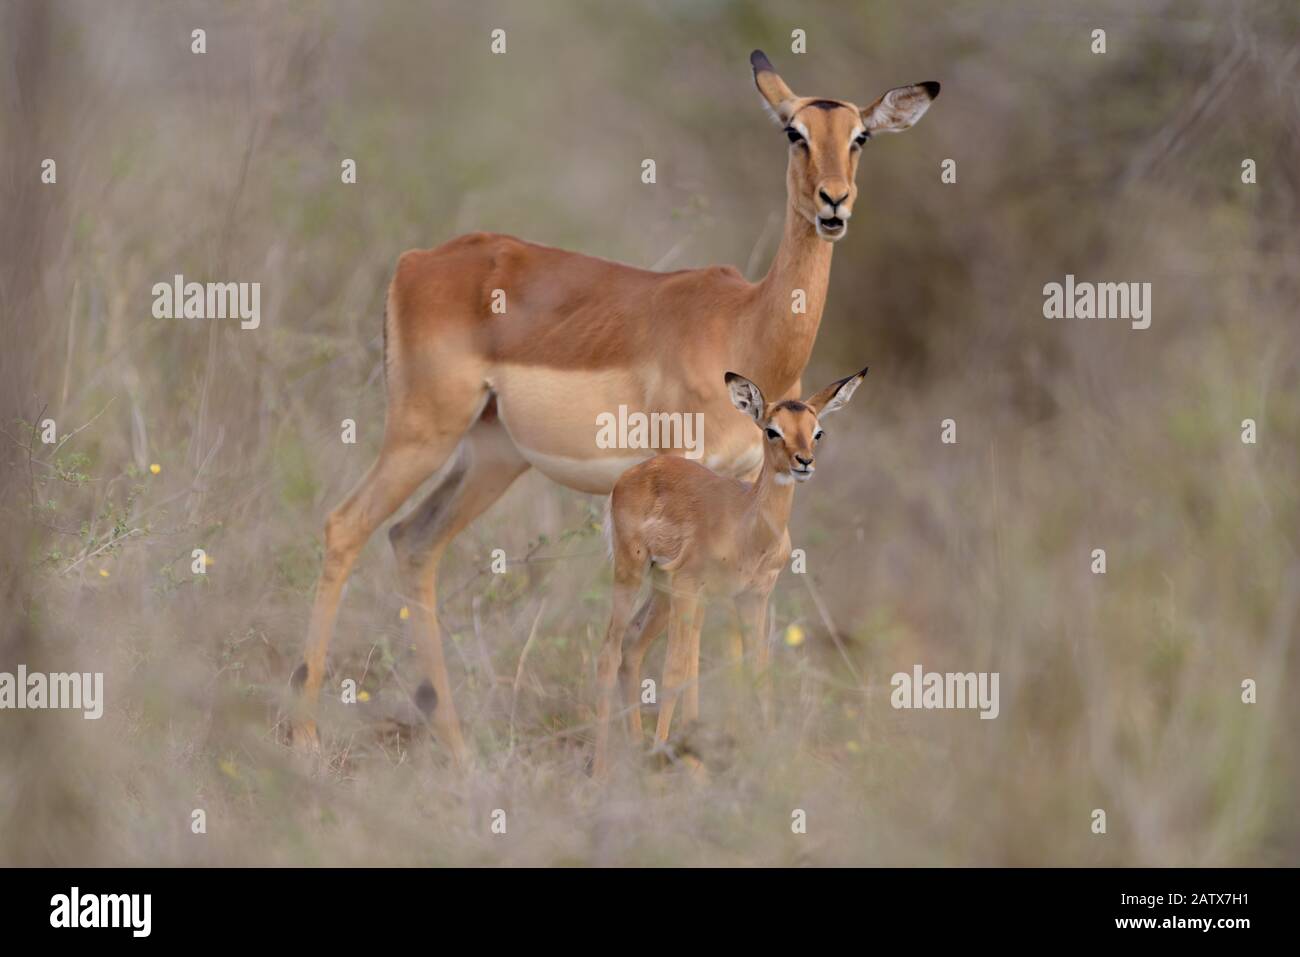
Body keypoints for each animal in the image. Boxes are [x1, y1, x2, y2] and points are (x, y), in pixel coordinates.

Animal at [593, 367, 868, 776]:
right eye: (772, 430)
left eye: (817, 431)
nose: (803, 462)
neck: (746, 525)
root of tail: (633, 474)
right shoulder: (692, 588)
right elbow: (676, 670)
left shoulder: (752, 596)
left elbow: (756, 668)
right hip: (634, 572)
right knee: (611, 651)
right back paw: (602, 769)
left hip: (663, 590)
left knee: (632, 645)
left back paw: (639, 753)